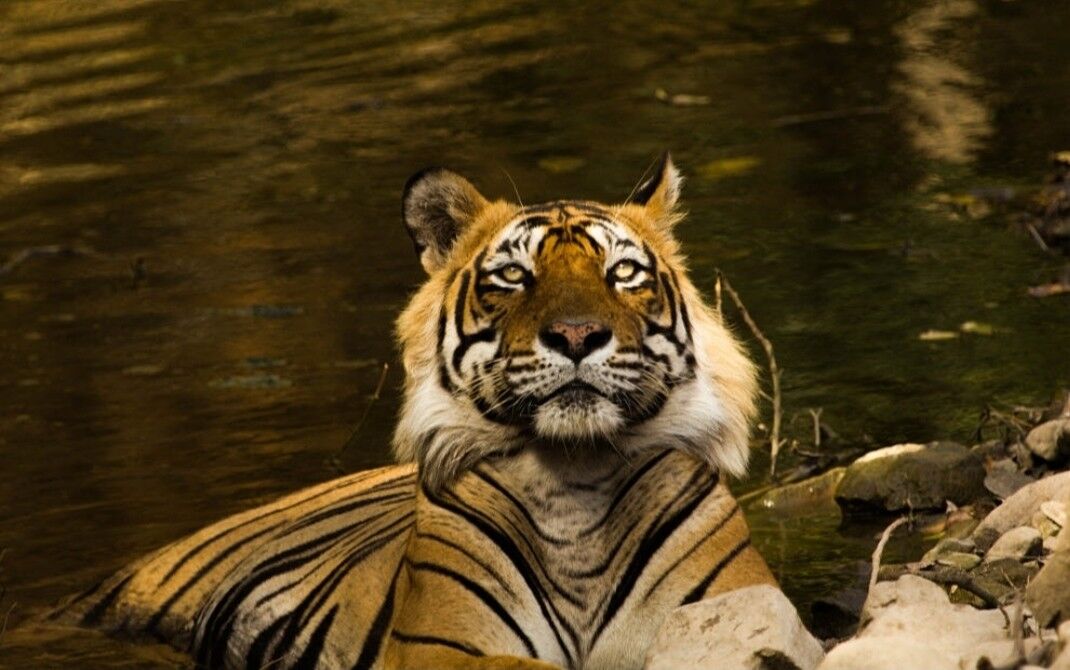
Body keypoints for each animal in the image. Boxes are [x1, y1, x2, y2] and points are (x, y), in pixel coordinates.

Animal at [49, 154, 776, 669]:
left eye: (622, 274)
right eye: (513, 277)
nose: (575, 335)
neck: (577, 479)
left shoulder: (727, 608)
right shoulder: (442, 647)